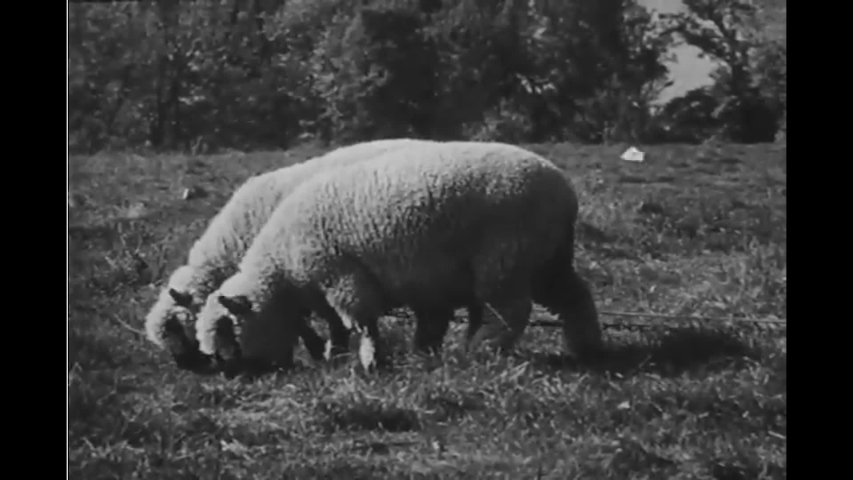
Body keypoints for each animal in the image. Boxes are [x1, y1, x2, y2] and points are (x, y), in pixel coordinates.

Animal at [144, 138, 476, 372]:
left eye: (175, 326)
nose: (188, 368)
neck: (234, 241)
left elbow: (308, 320)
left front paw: (321, 350)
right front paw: (329, 351)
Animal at [194, 141, 604, 373]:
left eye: (230, 332)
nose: (233, 375)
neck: (282, 273)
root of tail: (564, 191)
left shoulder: (342, 276)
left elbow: (362, 321)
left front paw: (371, 360)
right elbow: (341, 326)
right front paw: (336, 354)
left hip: (506, 257)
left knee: (510, 311)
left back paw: (480, 349)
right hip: (548, 259)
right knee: (576, 298)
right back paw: (587, 348)